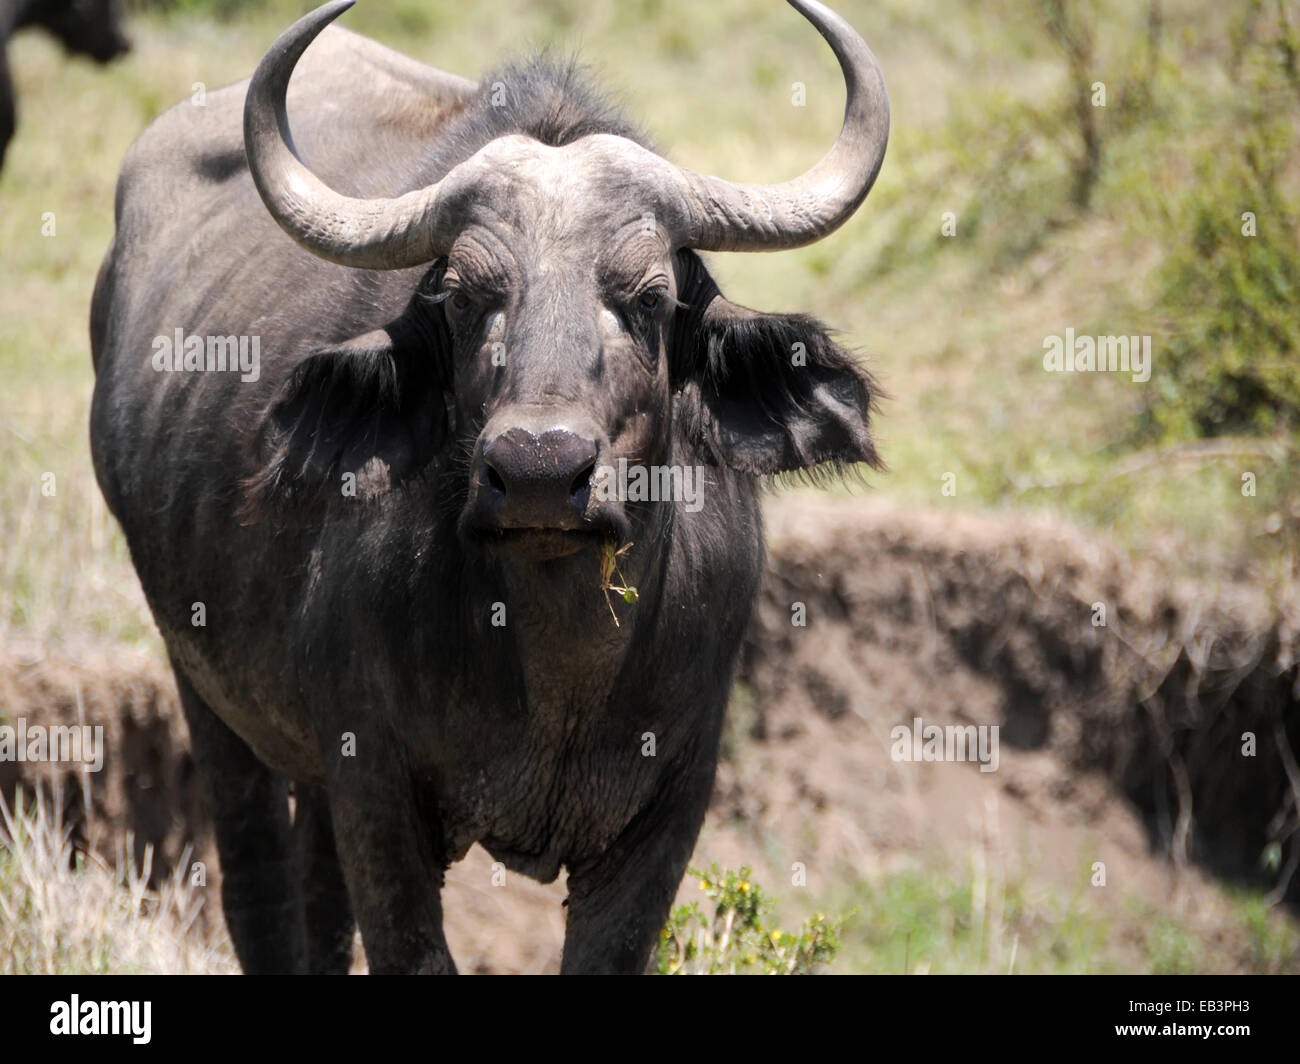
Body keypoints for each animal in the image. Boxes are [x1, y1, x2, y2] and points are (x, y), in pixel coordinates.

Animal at [89, 0, 888, 973]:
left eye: (652, 297)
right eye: (467, 297)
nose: (540, 470)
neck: (557, 663)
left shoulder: (668, 813)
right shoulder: (377, 793)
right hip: (206, 691)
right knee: (259, 889)